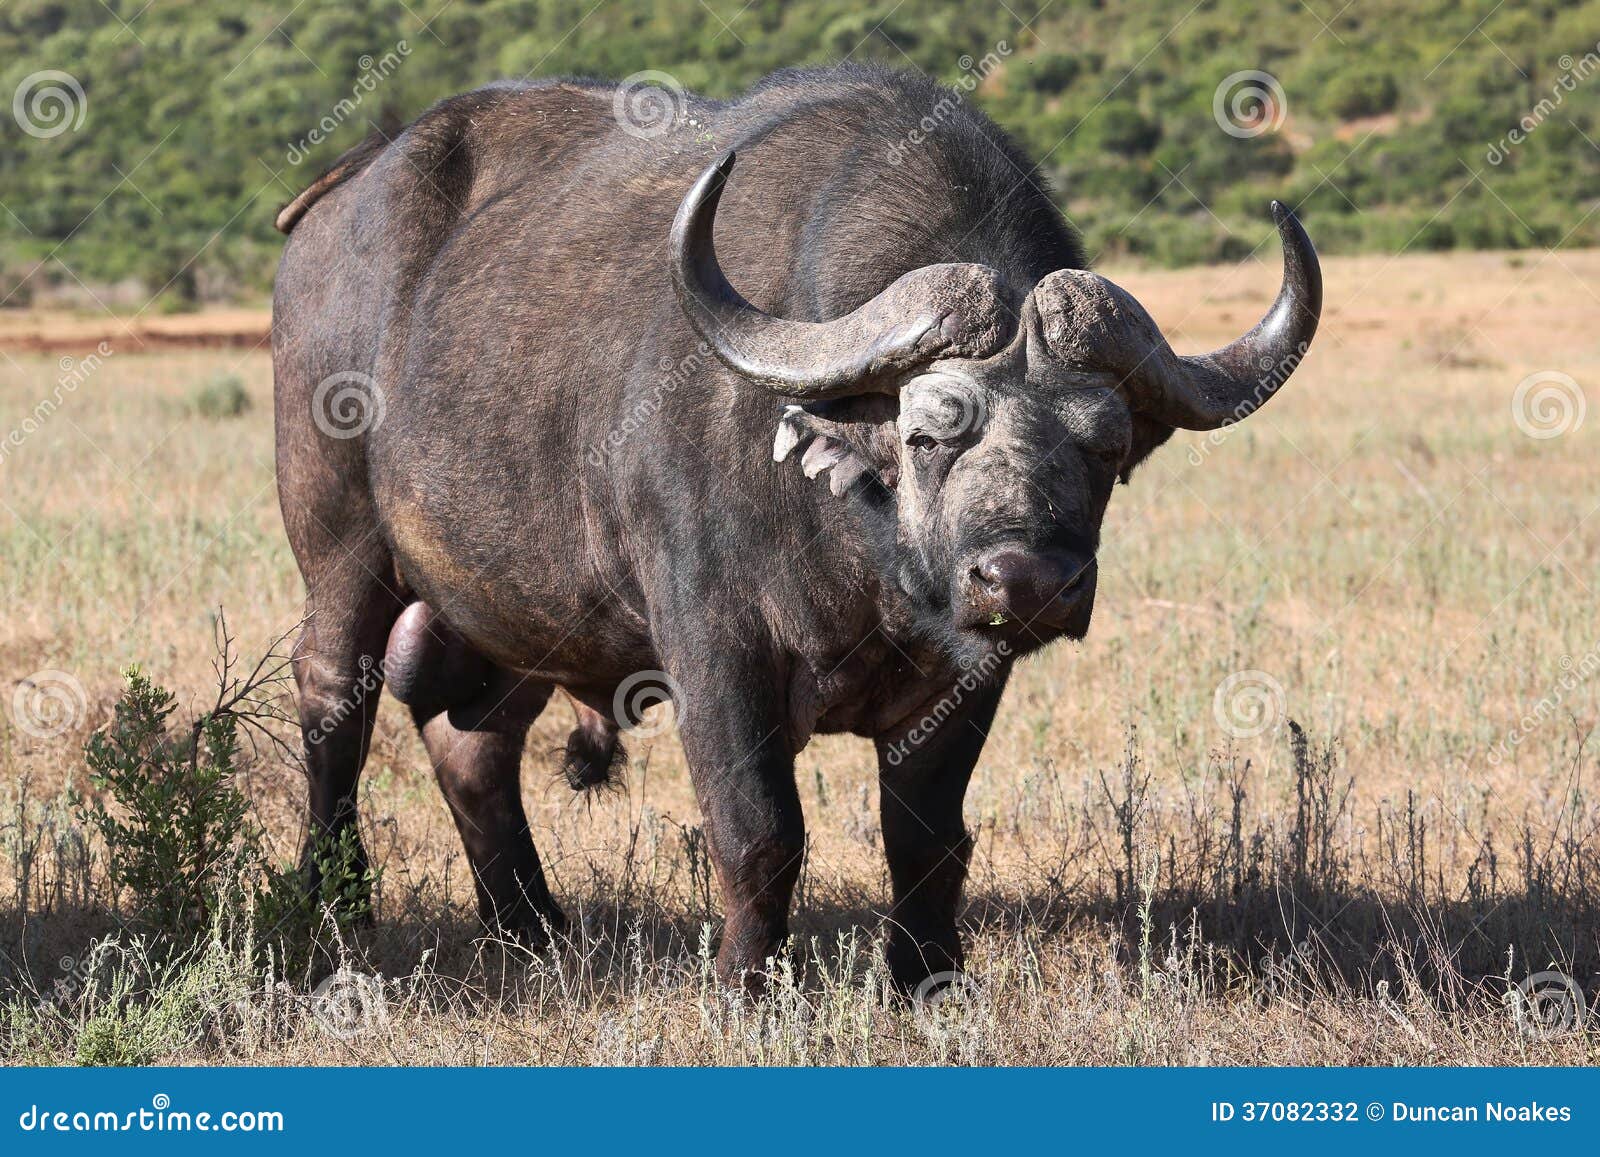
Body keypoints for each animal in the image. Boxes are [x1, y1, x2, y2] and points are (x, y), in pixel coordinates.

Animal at [271, 64, 1319, 992]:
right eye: (929, 430)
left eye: (1104, 446)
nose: (1025, 581)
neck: (857, 542)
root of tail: (346, 191)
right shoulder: (712, 649)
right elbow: (760, 830)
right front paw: (746, 987)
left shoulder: (969, 671)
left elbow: (928, 838)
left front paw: (926, 979)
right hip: (340, 545)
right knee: (331, 699)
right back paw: (333, 905)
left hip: (515, 608)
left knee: (473, 743)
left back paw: (531, 927)